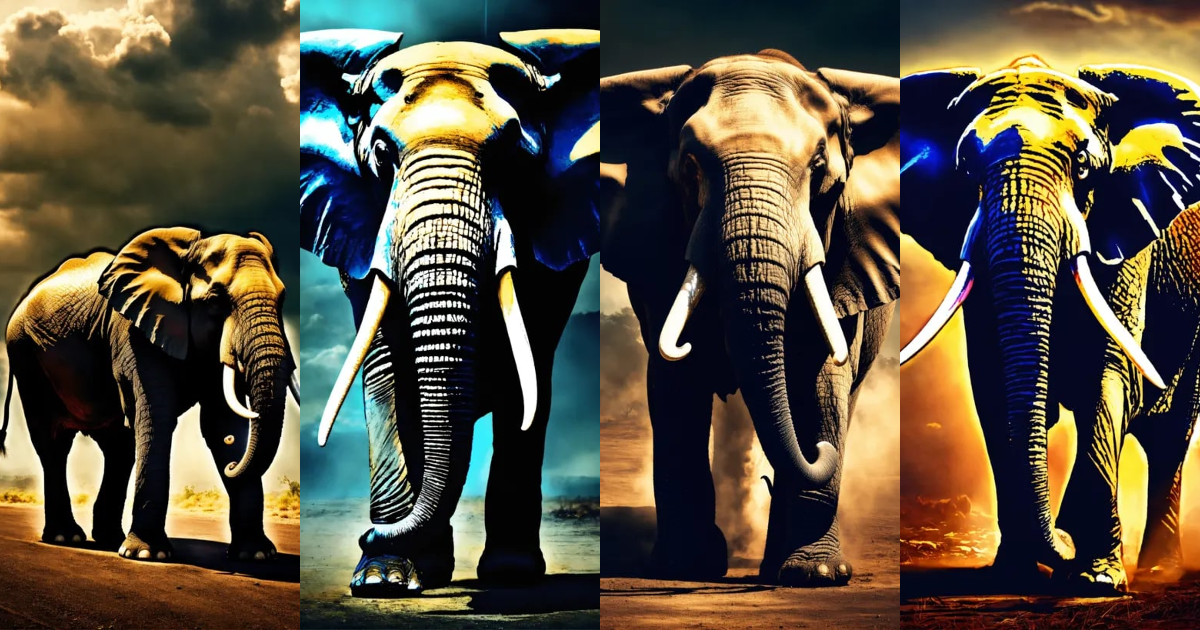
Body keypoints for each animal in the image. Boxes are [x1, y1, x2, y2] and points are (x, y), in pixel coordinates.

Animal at [0, 227, 298, 562]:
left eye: (282, 298)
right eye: (215, 301)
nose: (232, 468)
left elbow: (221, 423)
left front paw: (256, 555)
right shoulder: (134, 332)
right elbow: (157, 416)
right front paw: (148, 555)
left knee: (119, 447)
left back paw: (109, 538)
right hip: (26, 357)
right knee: (53, 444)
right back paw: (66, 537)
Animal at [299, 29, 599, 596]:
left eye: (511, 156)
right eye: (381, 153)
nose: (366, 533)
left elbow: (524, 375)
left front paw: (510, 577)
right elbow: (387, 370)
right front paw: (383, 579)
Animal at [600, 50, 899, 586]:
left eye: (819, 168)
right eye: (691, 166)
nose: (816, 451)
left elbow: (822, 380)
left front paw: (816, 573)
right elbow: (677, 382)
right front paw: (685, 567)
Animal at [901, 55, 1200, 593]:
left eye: (1082, 166)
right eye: (965, 167)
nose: (1062, 540)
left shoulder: (1125, 237)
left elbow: (1107, 377)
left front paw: (1096, 580)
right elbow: (995, 390)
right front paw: (1014, 575)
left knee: (1170, 437)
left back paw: (1158, 571)